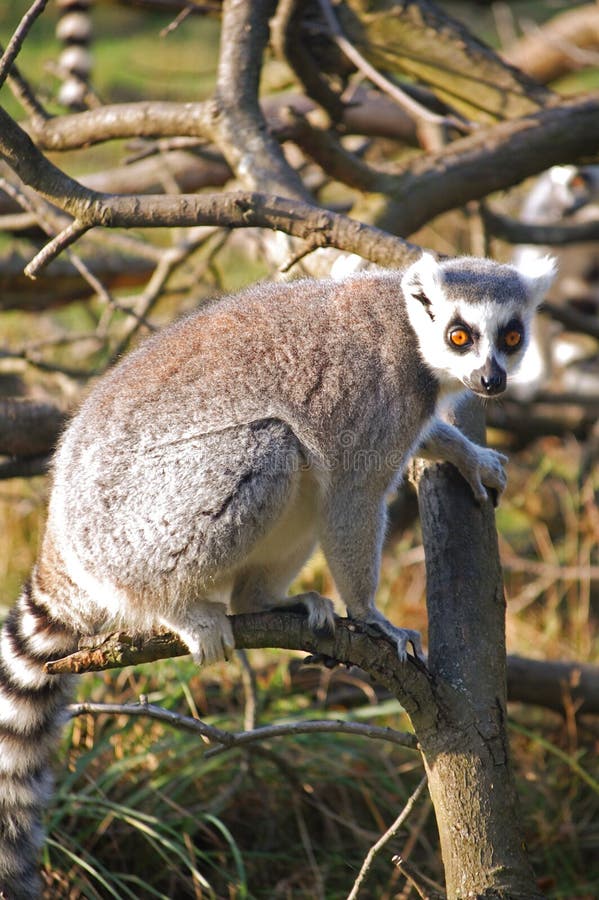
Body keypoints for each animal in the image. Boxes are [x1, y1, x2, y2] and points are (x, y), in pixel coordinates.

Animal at [0, 251, 555, 897]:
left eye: (512, 337)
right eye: (459, 336)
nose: (491, 381)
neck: (409, 332)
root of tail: (59, 539)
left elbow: (414, 443)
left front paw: (466, 453)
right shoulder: (377, 400)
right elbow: (352, 496)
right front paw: (371, 616)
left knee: (301, 481)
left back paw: (265, 601)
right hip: (135, 531)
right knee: (275, 448)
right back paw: (177, 608)